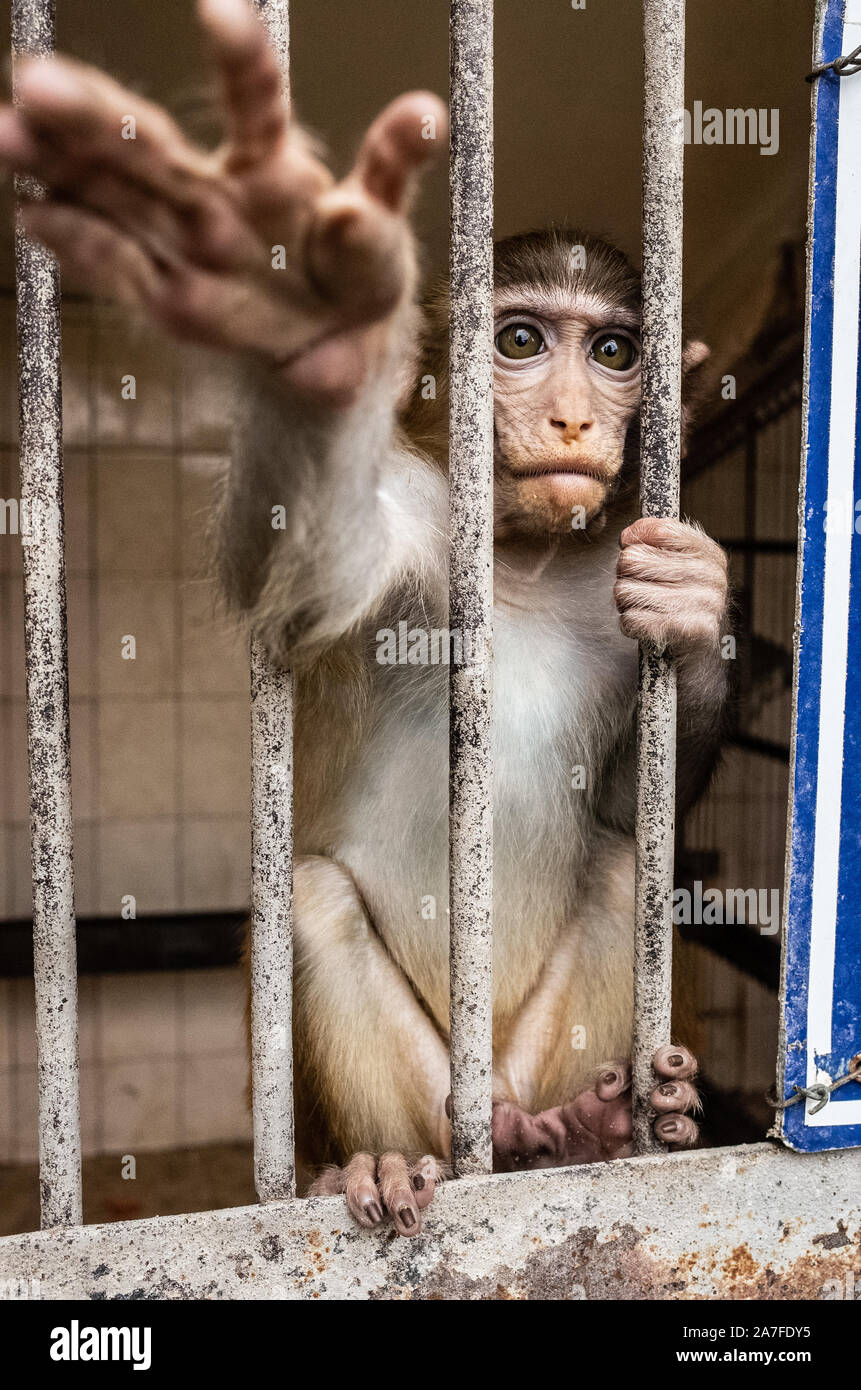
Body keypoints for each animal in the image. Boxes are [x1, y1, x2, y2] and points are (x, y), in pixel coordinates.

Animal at [0, 0, 728, 1237]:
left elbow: (642, 803)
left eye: (614, 350)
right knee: (315, 905)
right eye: (522, 341)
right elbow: (308, 550)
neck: (521, 558)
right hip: (433, 1088)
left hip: (522, 1060)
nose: (576, 418)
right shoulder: (412, 536)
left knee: (622, 870)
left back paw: (590, 1131)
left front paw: (697, 602)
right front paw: (317, 331)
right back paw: (379, 1166)